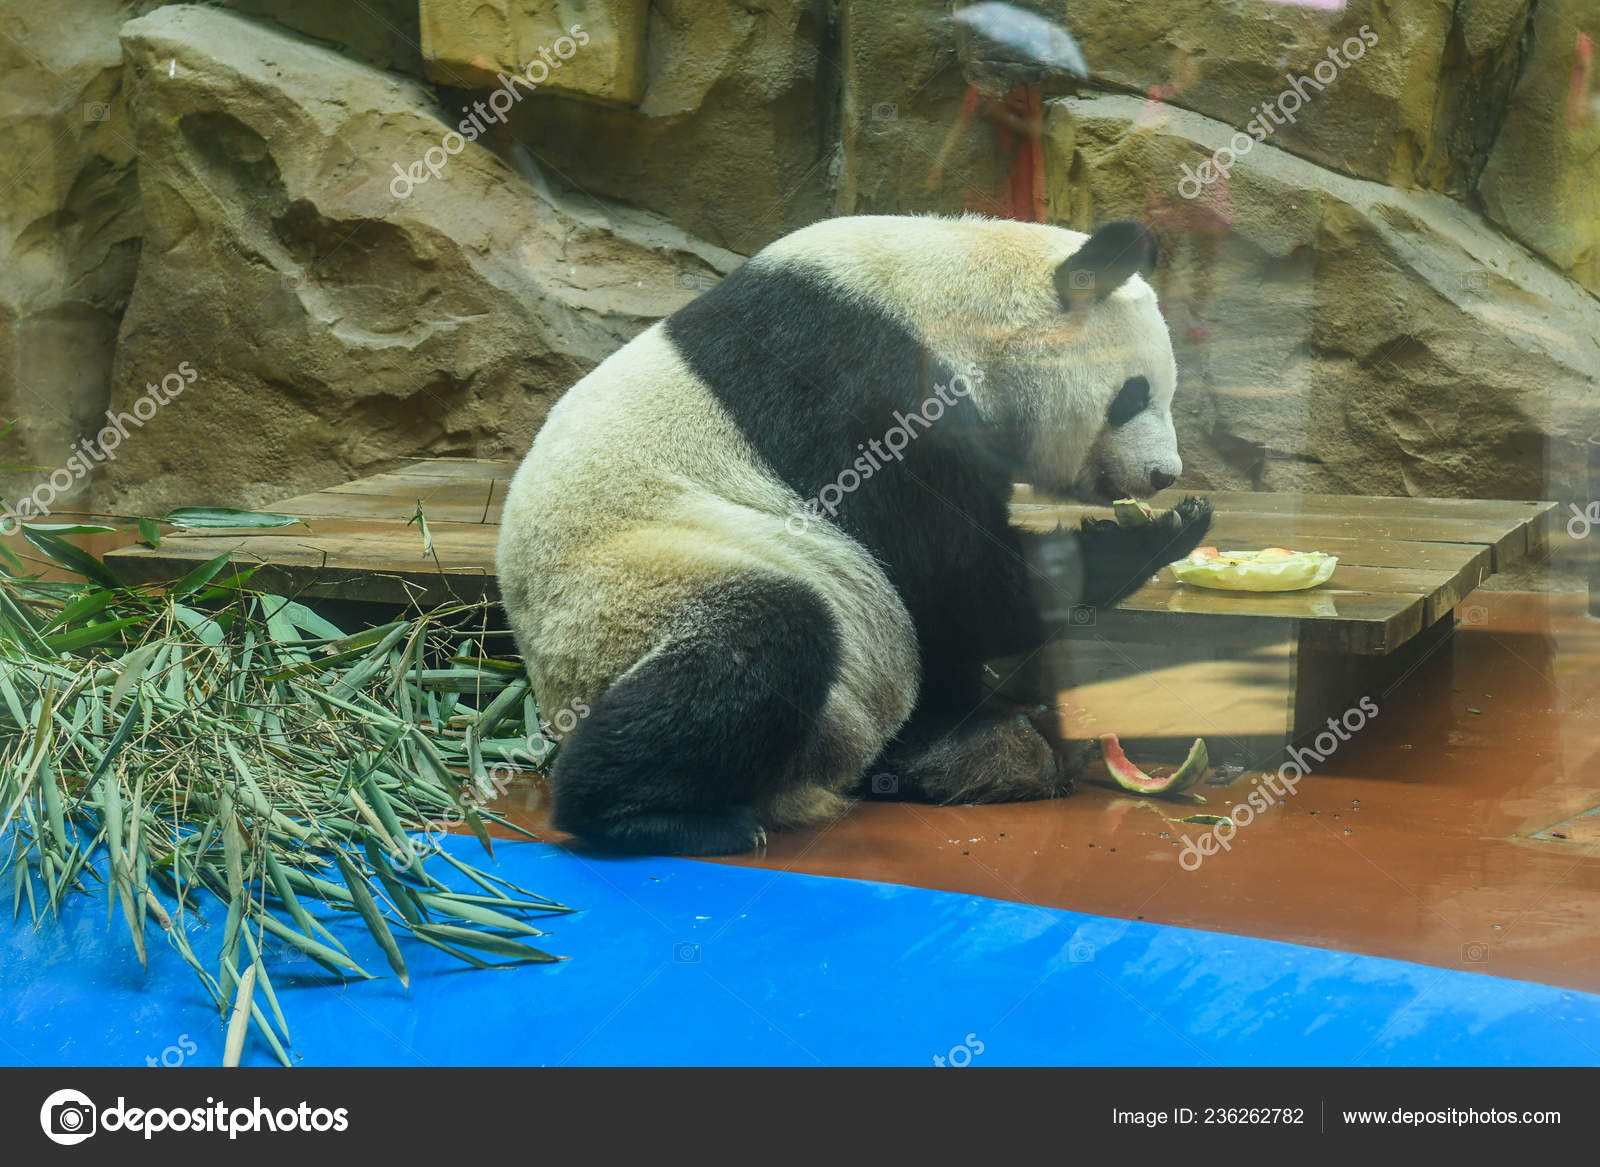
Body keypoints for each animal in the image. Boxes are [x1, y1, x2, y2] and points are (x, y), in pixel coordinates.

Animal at [495, 214, 1213, 856]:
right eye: (1133, 394)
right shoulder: (870, 389)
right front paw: (1153, 537)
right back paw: (662, 818)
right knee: (760, 641)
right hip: (631, 594)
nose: (1163, 474)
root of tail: (551, 687)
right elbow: (957, 580)